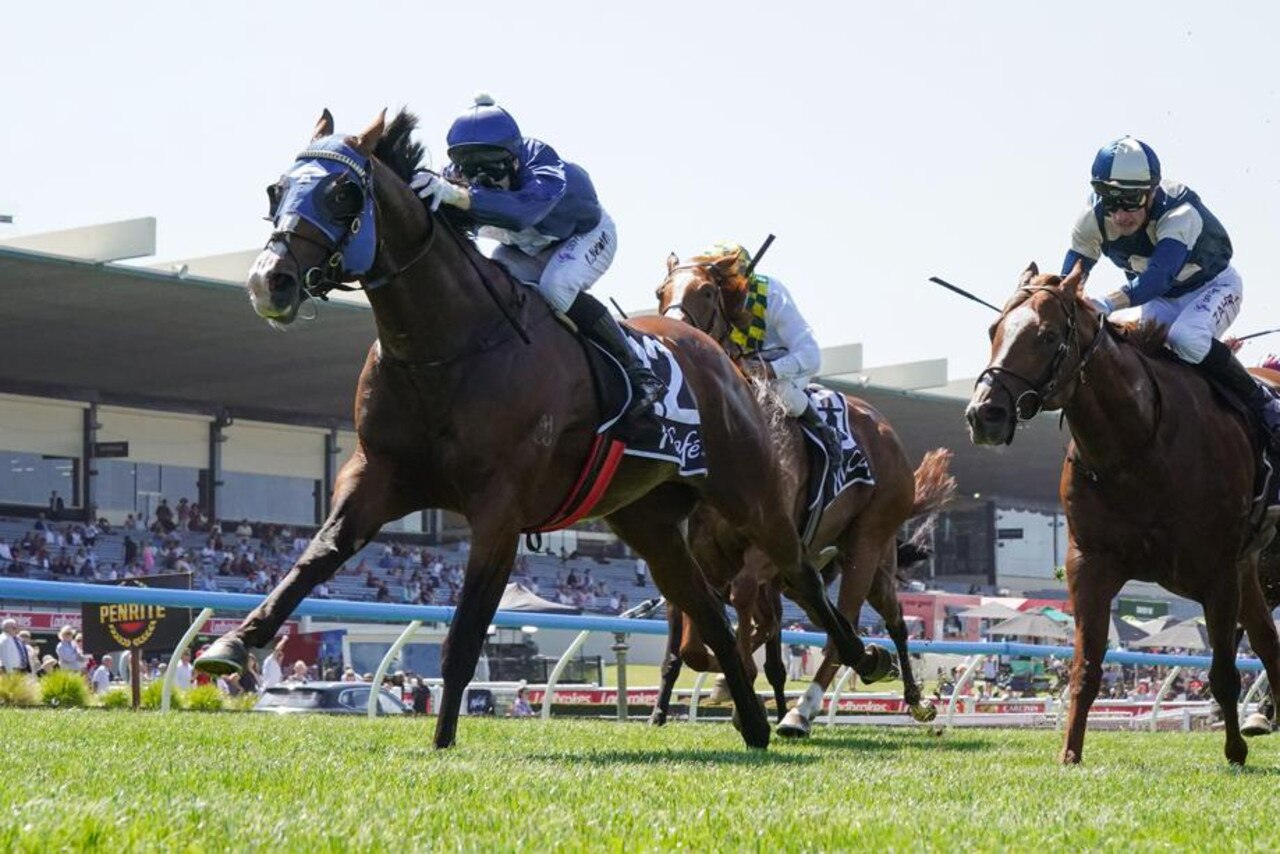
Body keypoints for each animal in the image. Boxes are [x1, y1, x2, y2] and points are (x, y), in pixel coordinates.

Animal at [192, 109, 887, 751]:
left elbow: (465, 633)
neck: (445, 346)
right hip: (649, 520)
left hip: (749, 494)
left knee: (800, 573)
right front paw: (233, 643)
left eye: (342, 194)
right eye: (277, 190)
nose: (269, 281)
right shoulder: (378, 475)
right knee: (706, 612)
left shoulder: (499, 507)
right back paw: (754, 722)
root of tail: (718, 356)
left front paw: (443, 742)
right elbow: (316, 555)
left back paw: (859, 659)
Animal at [653, 255, 956, 735]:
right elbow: (694, 647)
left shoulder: (765, 548)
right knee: (865, 621)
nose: (673, 338)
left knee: (861, 626)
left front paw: (744, 685)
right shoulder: (704, 554)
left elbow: (744, 605)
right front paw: (727, 682)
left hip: (867, 547)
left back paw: (809, 708)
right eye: (660, 292)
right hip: (825, 570)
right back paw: (895, 685)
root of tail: (886, 430)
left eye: (707, 291)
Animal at [965, 262, 1280, 766]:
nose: (984, 414)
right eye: (994, 329)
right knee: (1269, 641)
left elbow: (1224, 672)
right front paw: (1070, 754)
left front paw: (1235, 750)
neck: (1139, 444)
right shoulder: (1090, 562)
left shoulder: (1217, 569)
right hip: (1255, 564)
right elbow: (1086, 666)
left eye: (1047, 336)